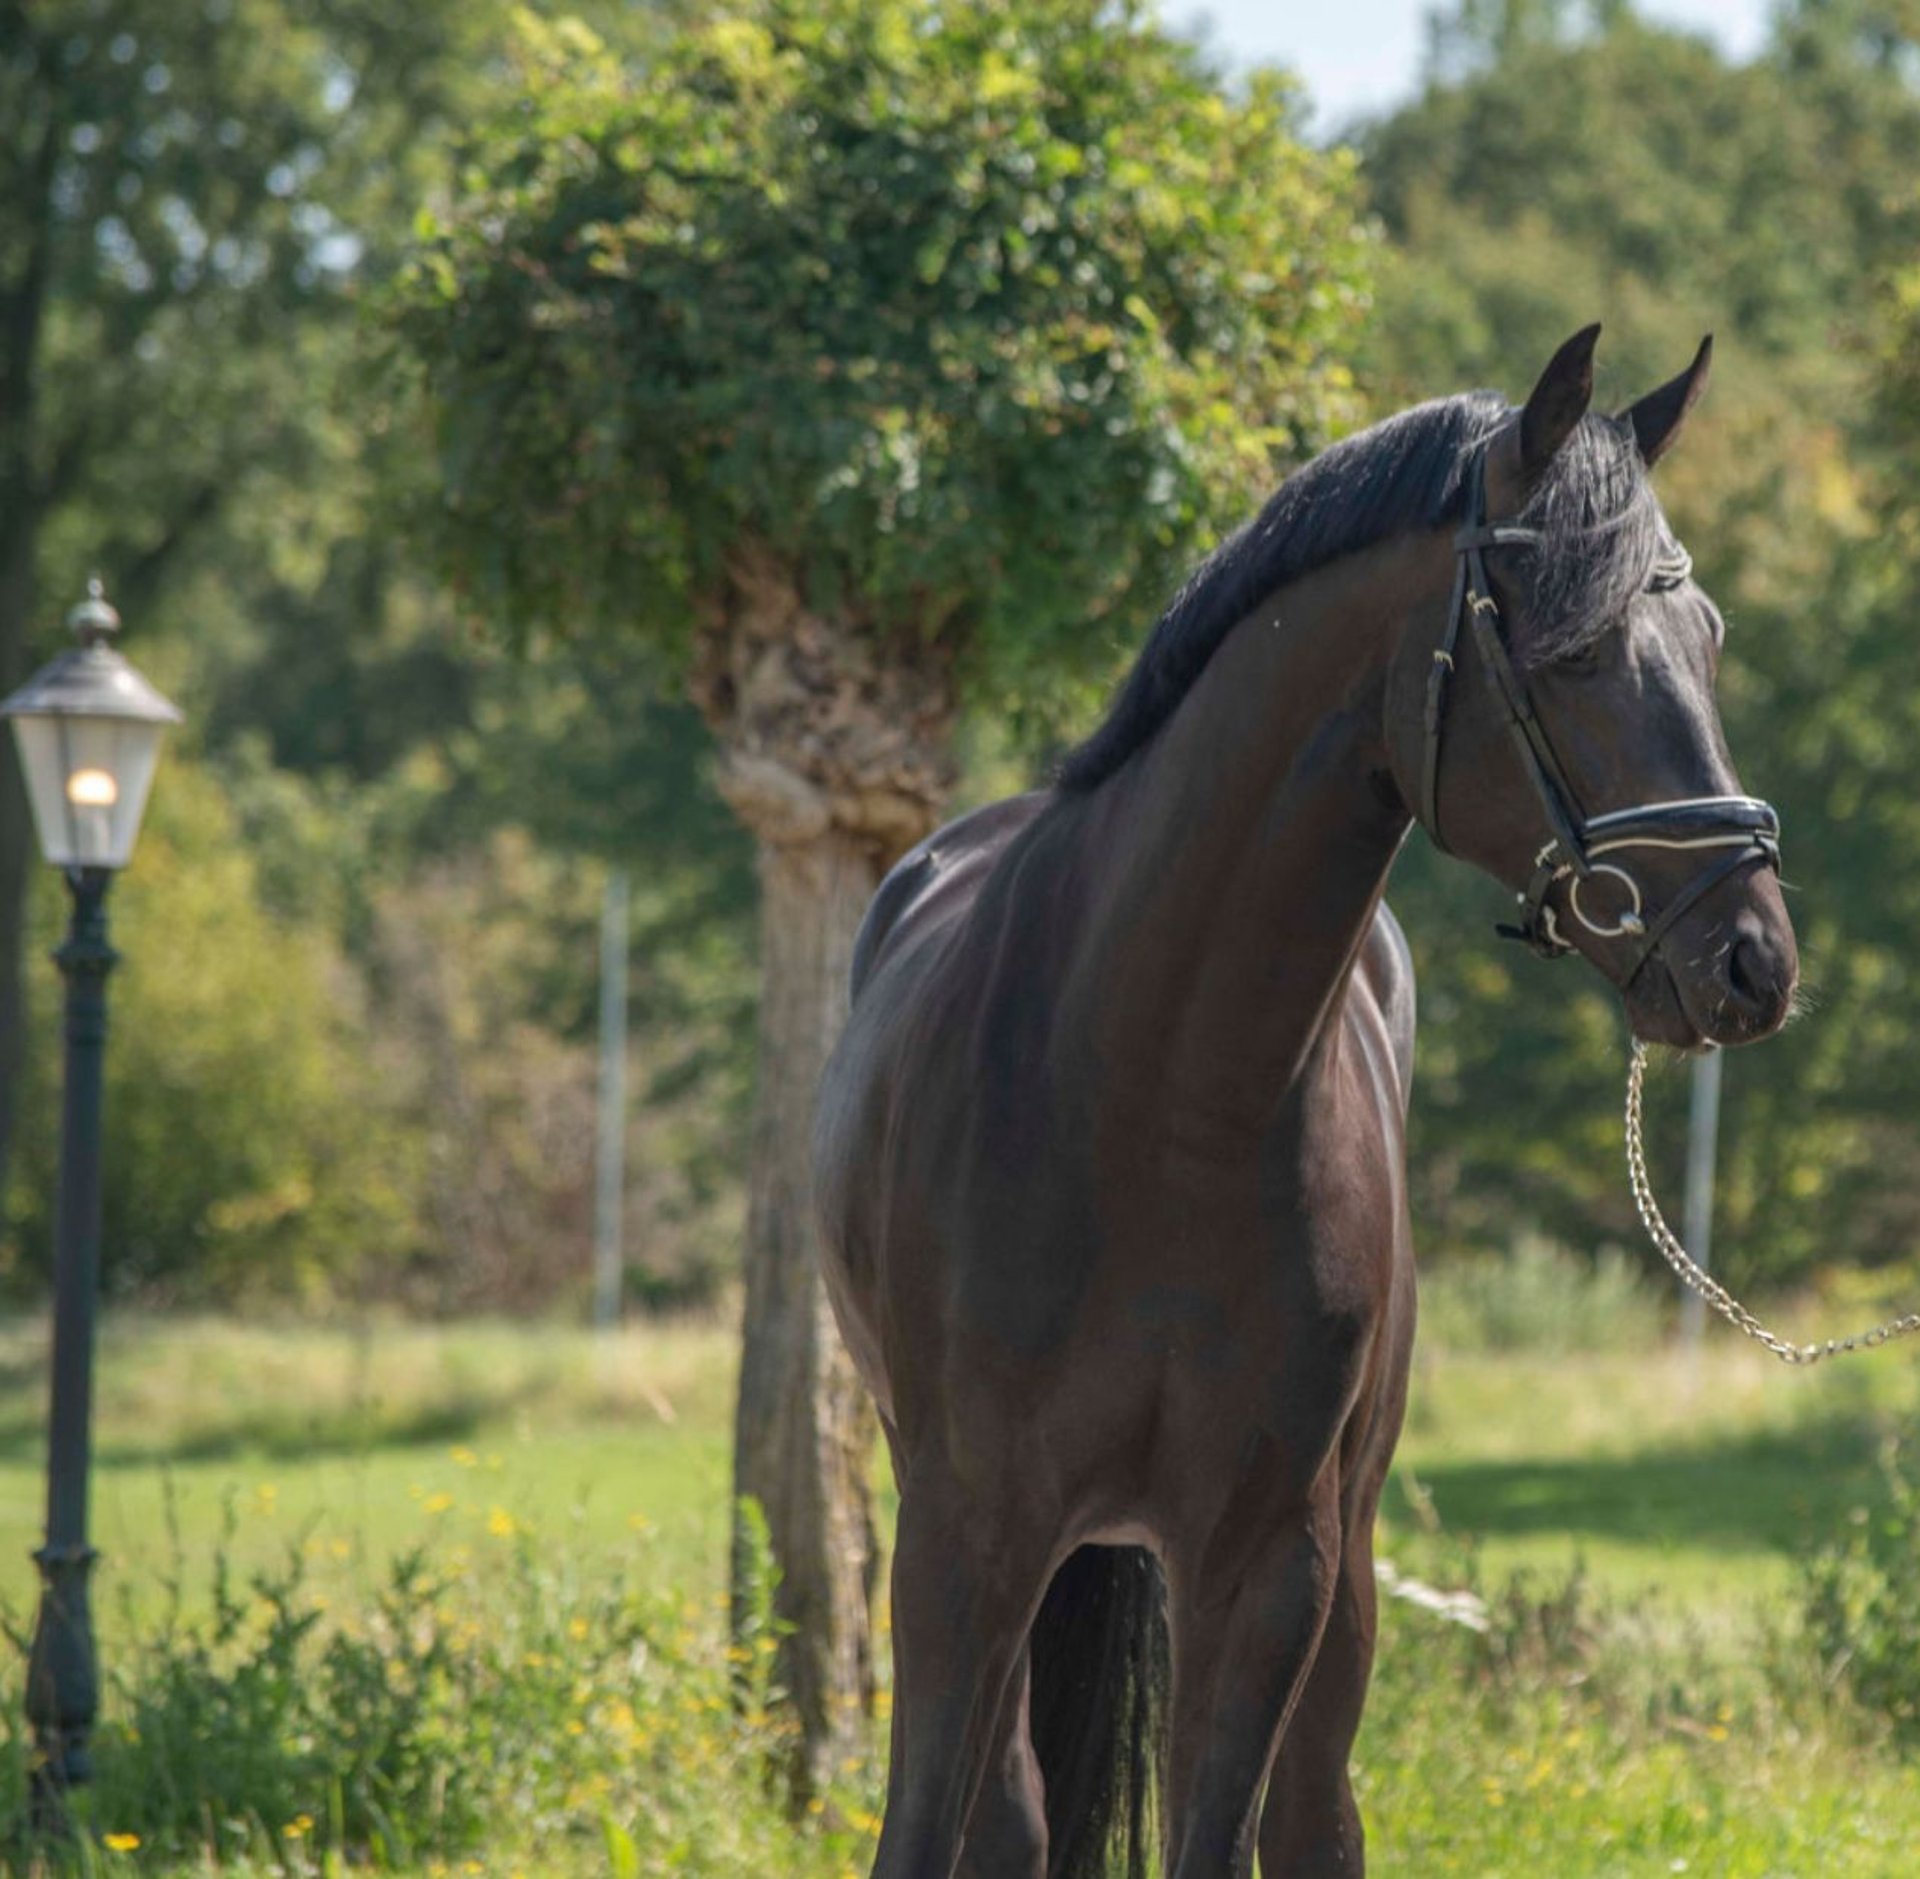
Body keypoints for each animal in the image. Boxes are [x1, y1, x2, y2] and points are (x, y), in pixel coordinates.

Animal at [812, 326, 1799, 1879]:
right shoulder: (963, 1542)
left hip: (1338, 1562)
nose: (1753, 957)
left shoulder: (1273, 1555)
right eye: (1574, 649)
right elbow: (933, 1828)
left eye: (1705, 639)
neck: (1153, 1094)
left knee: (1314, 1811)